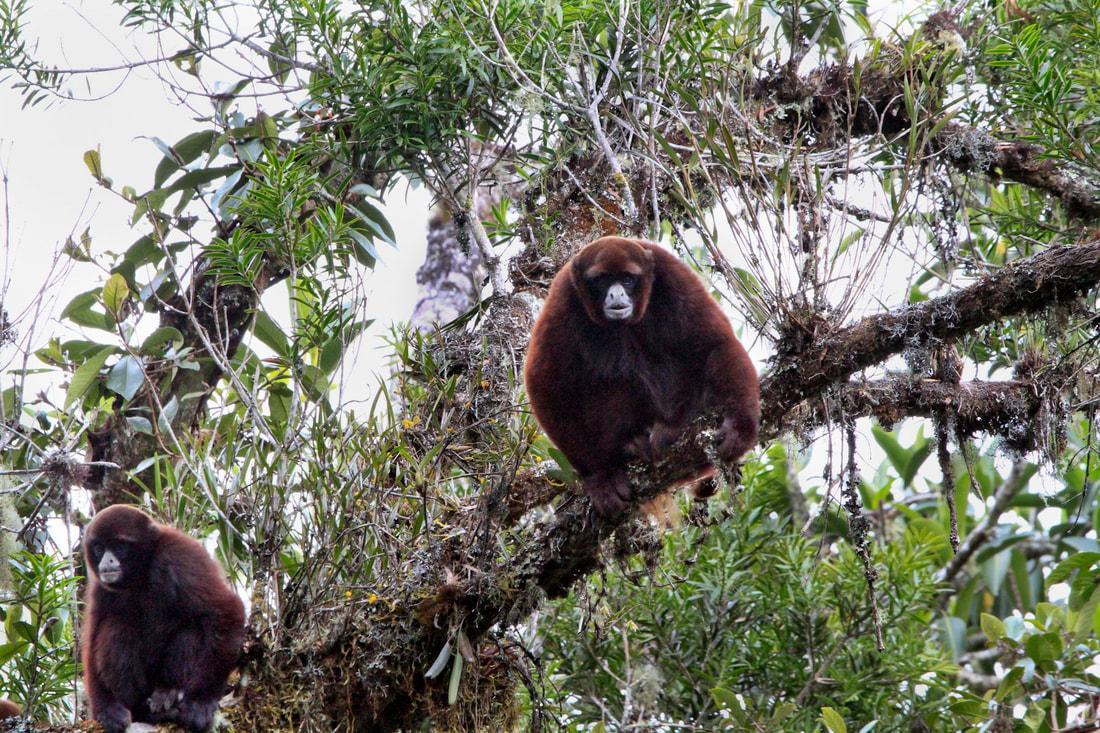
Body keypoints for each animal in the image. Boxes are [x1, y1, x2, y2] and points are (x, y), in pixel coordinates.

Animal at [81, 505, 245, 733]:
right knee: (116, 627)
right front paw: (105, 710)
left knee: (192, 629)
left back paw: (168, 691)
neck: (144, 568)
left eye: (119, 546)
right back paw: (141, 710)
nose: (108, 560)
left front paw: (201, 701)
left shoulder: (179, 555)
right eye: (99, 547)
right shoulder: (100, 587)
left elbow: (226, 611)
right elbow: (94, 636)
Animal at [524, 236, 760, 517]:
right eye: (602, 280)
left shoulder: (673, 273)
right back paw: (630, 445)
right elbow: (547, 386)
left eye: (627, 279)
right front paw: (601, 476)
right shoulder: (563, 296)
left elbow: (714, 345)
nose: (616, 293)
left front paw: (740, 426)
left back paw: (671, 429)